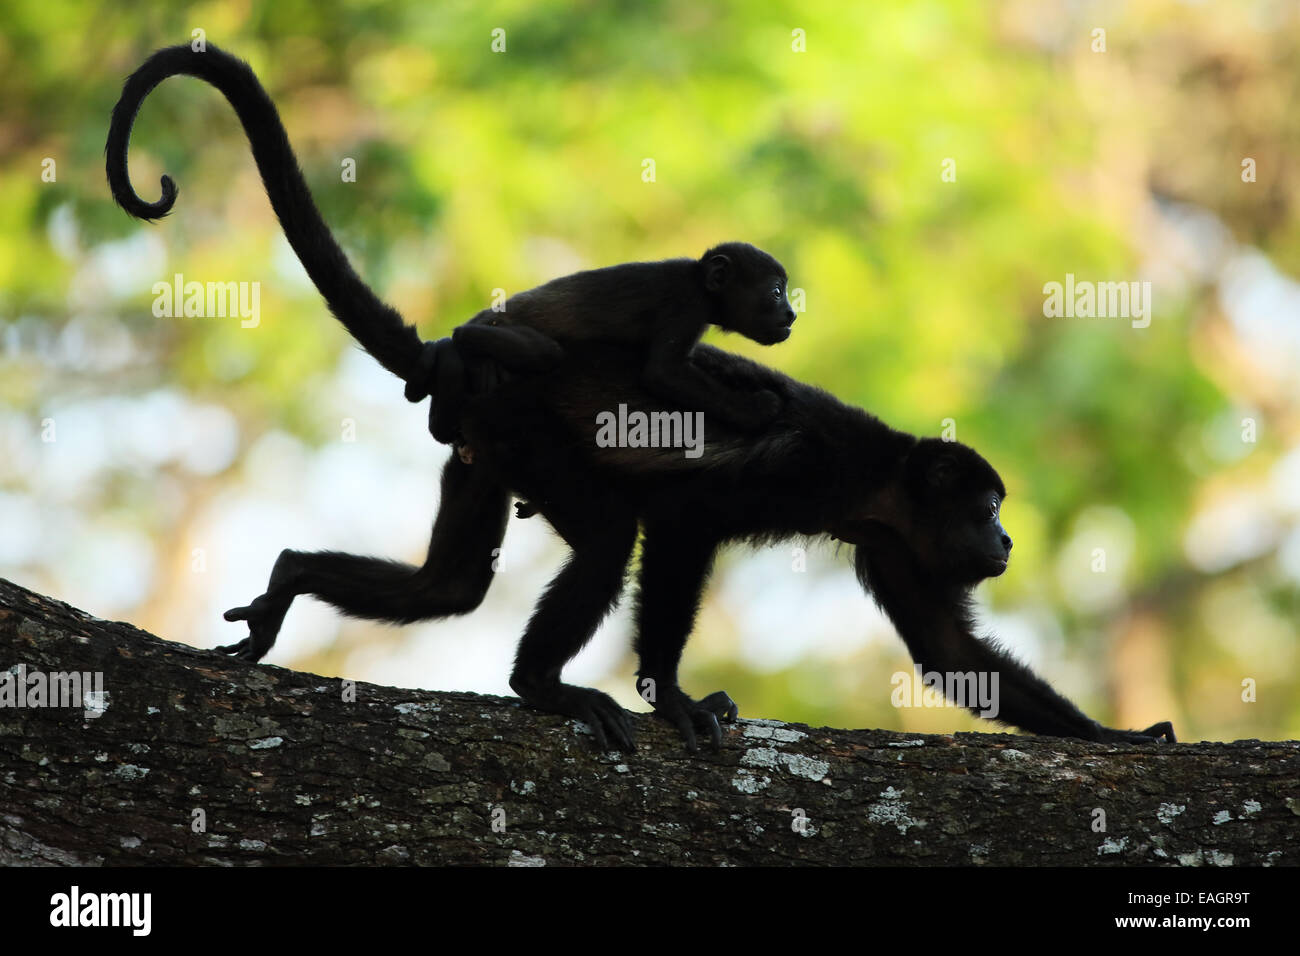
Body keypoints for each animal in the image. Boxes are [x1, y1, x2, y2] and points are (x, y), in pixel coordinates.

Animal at [104, 44, 790, 442]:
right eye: (776, 289)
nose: (792, 312)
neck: (702, 281)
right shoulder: (684, 305)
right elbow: (663, 371)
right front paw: (755, 411)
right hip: (504, 332)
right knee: (527, 349)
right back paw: (461, 349)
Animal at [217, 332, 1176, 752]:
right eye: (987, 506)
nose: (1007, 538)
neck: (883, 487)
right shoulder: (808, 462)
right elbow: (681, 517)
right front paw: (669, 696)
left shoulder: (898, 546)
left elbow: (949, 652)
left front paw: (1116, 741)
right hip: (535, 437)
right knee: (607, 540)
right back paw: (541, 685)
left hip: (486, 449)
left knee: (449, 586)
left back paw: (291, 576)